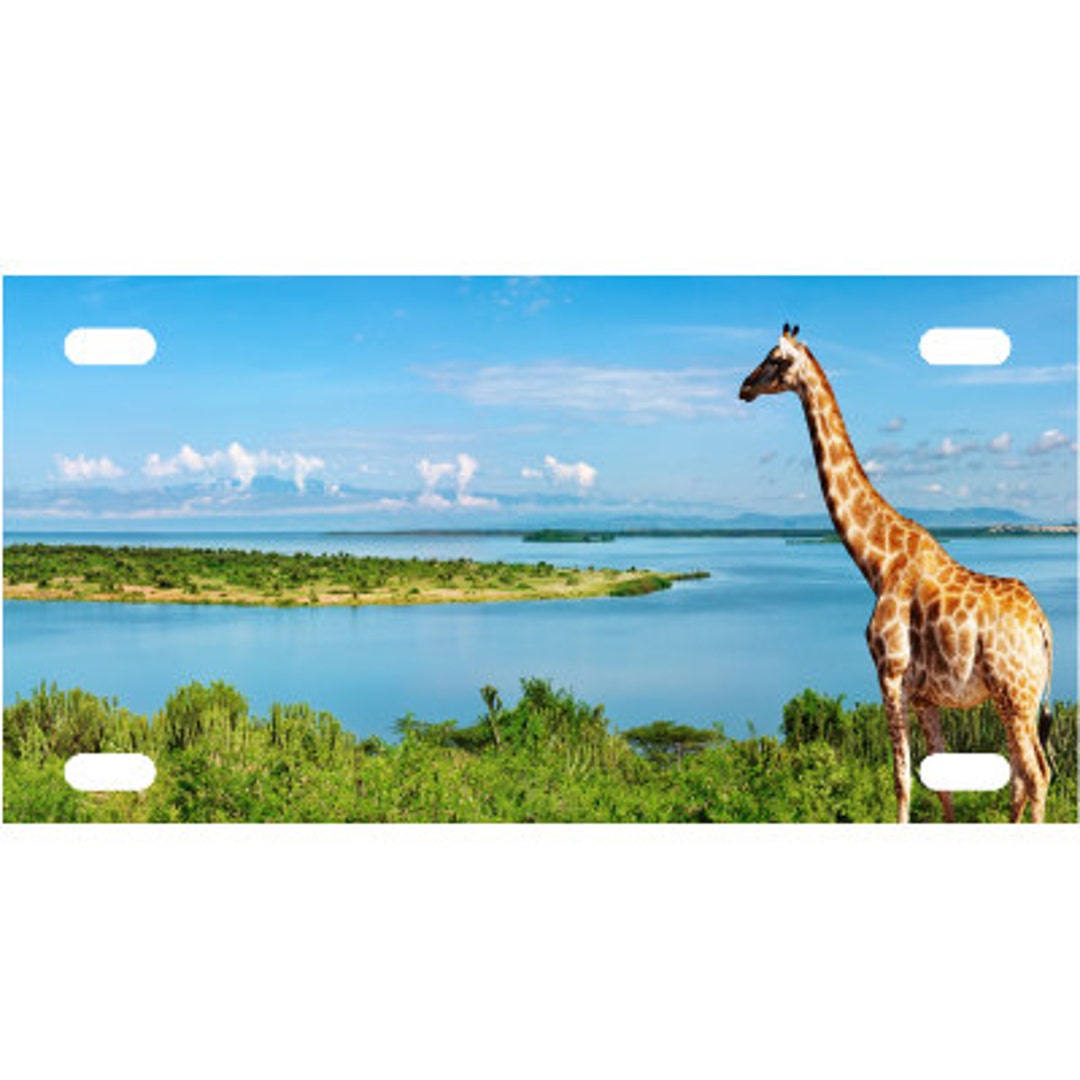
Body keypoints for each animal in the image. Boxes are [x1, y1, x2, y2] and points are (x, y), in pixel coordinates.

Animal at [739, 324, 1055, 823]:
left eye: (776, 358)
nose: (745, 387)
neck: (877, 562)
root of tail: (1042, 625)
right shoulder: (925, 696)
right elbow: (942, 786)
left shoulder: (890, 674)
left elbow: (902, 780)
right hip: (1014, 698)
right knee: (1024, 778)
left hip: (1016, 694)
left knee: (1037, 775)